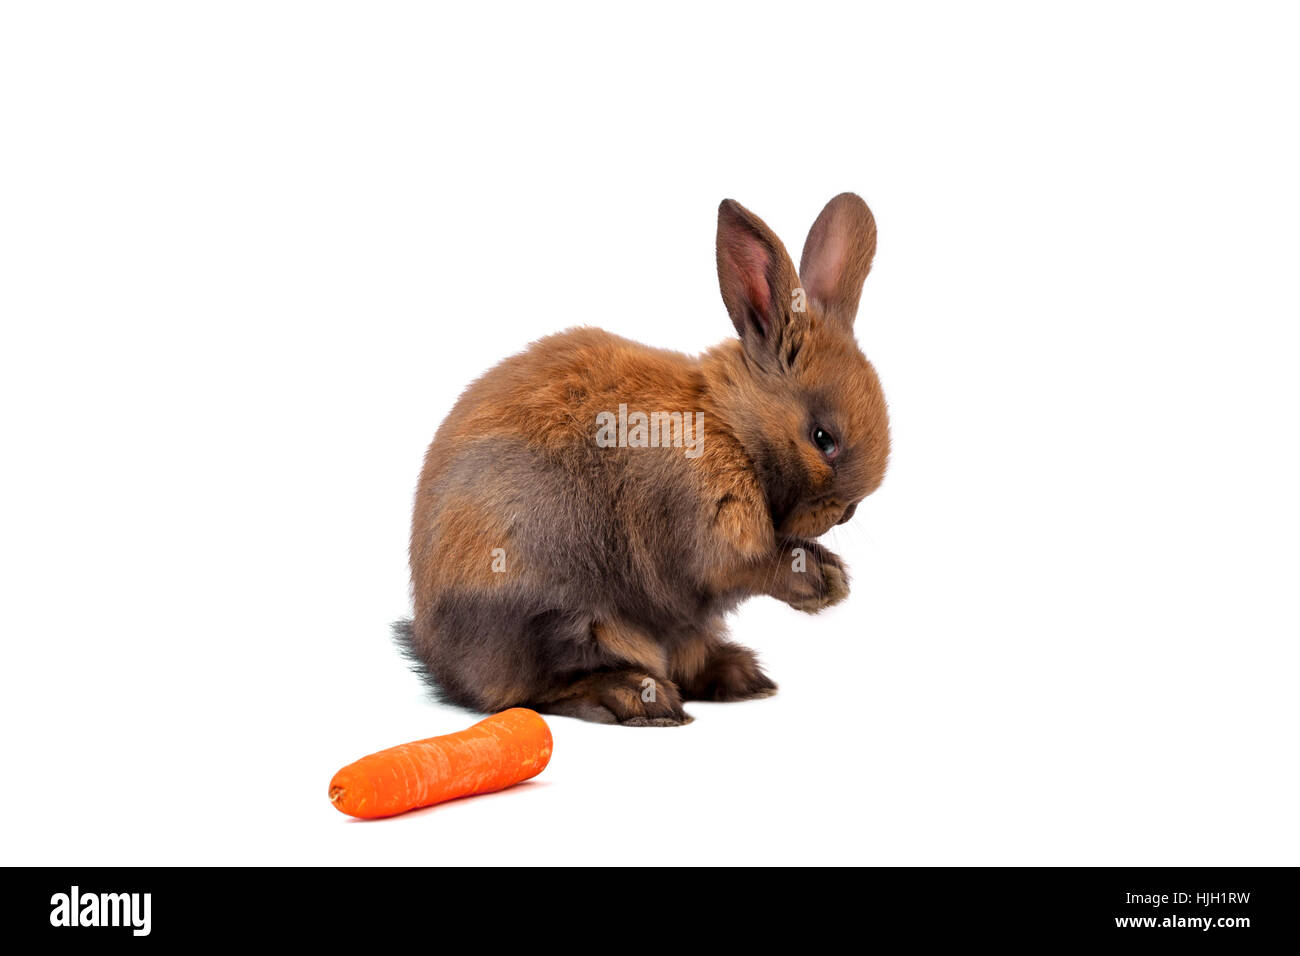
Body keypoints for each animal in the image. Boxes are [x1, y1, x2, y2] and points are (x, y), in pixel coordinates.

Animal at [394, 193, 890, 725]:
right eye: (823, 438)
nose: (847, 511)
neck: (730, 429)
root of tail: (439, 658)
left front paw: (832, 576)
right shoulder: (703, 539)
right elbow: (750, 567)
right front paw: (822, 582)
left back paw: (740, 676)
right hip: (550, 614)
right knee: (536, 690)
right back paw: (640, 697)